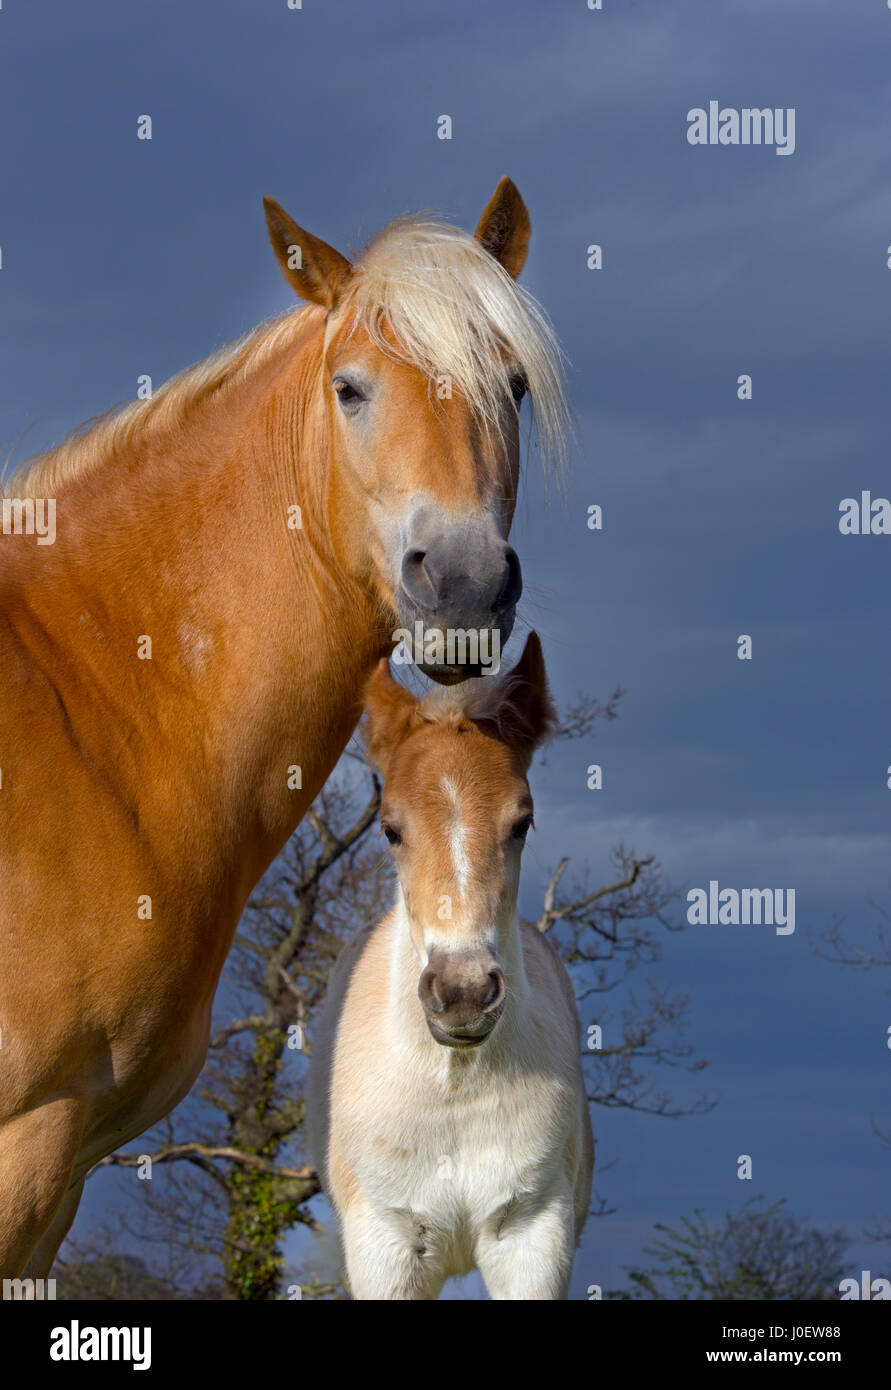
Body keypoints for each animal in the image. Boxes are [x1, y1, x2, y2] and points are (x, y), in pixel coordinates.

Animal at [307, 632, 593, 1299]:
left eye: (522, 822)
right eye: (390, 829)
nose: (462, 992)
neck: (452, 1093)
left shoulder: (534, 1237)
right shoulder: (385, 1246)